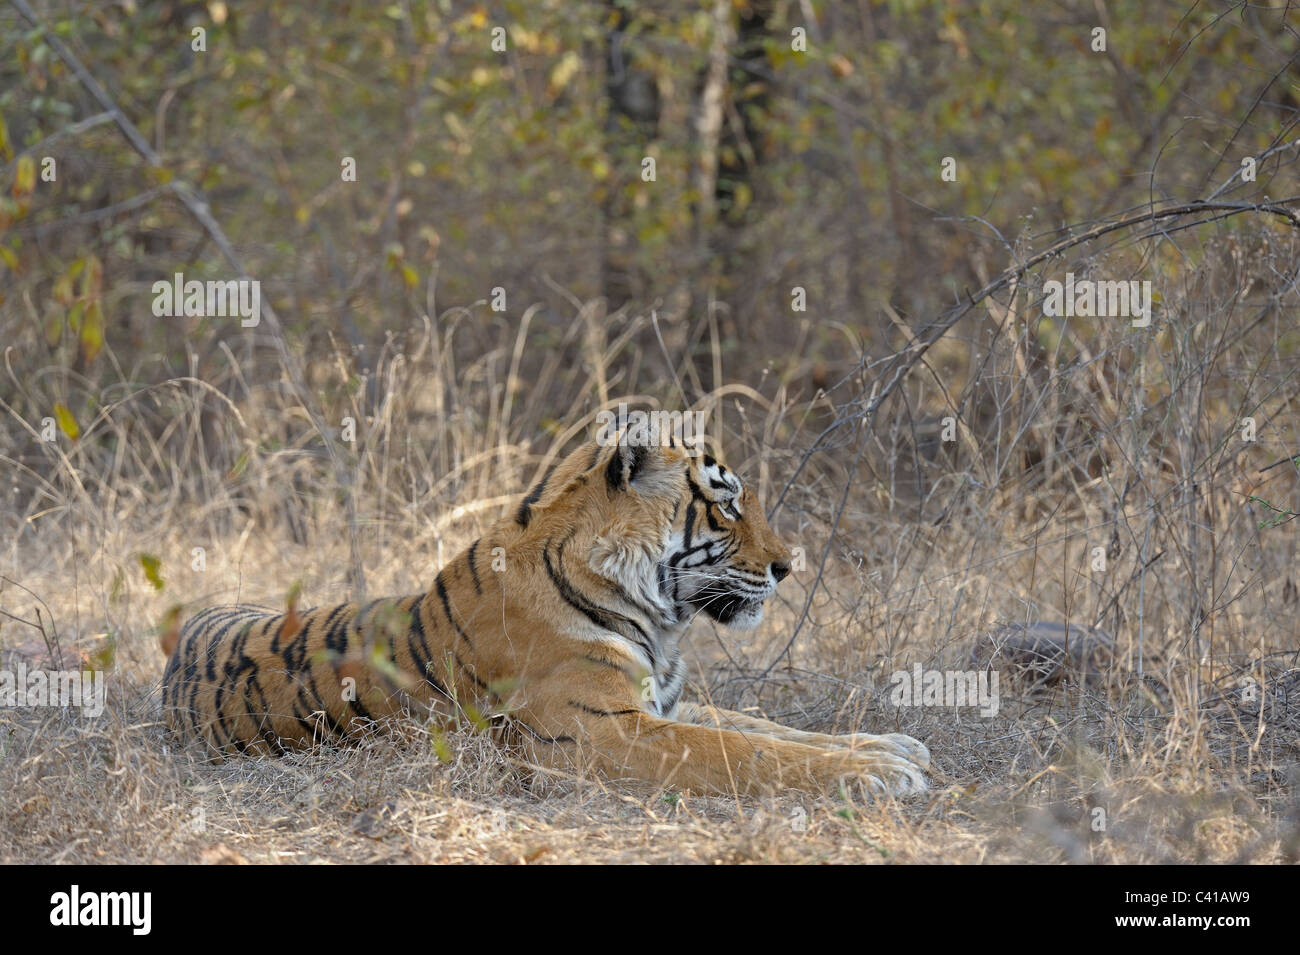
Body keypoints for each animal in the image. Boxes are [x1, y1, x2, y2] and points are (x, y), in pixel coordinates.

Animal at [161, 435, 931, 797]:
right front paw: (879, 775)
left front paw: (893, 746)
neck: (654, 617)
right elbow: (744, 751)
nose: (787, 566)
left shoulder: (659, 703)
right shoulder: (602, 731)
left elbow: (767, 728)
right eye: (727, 503)